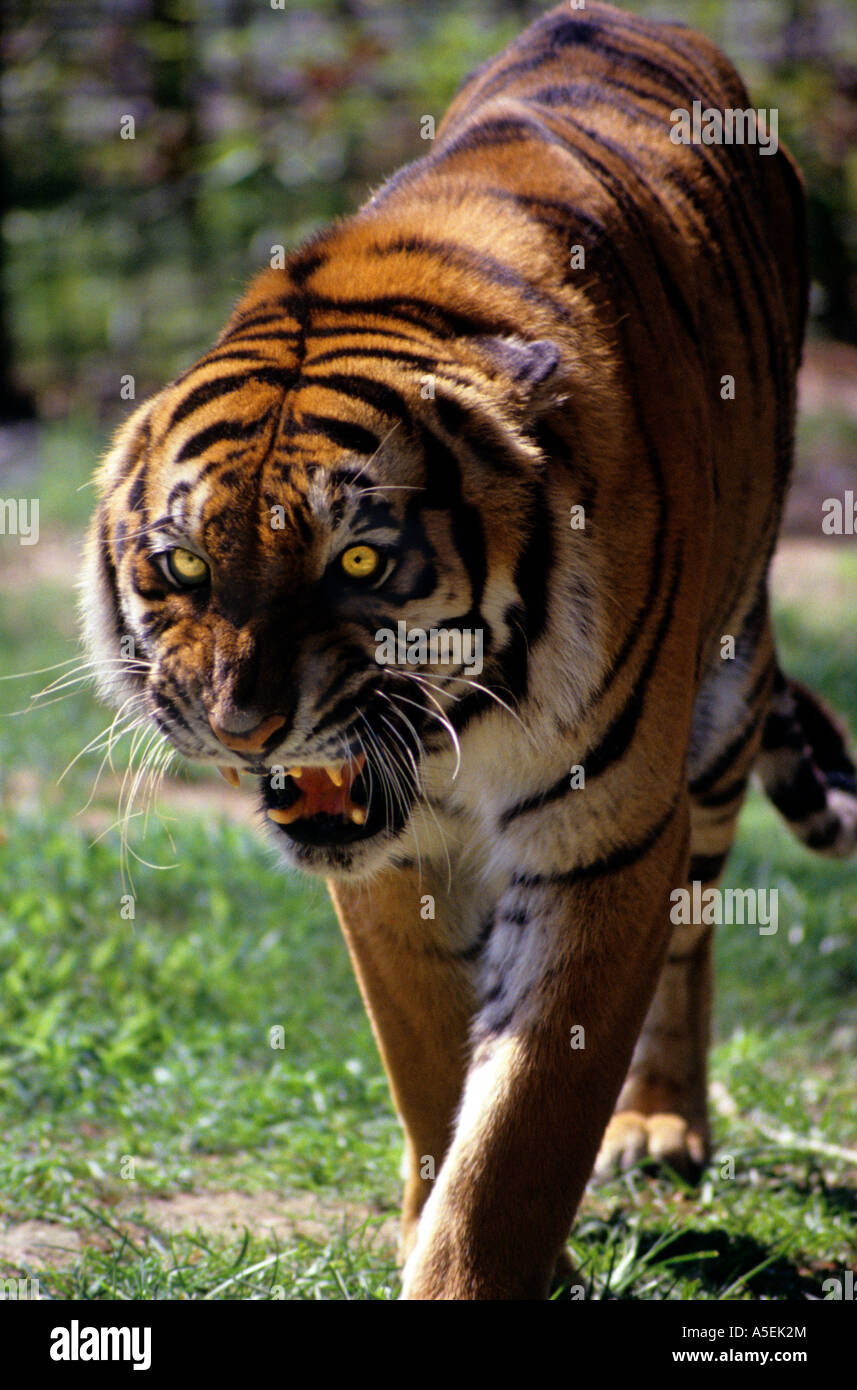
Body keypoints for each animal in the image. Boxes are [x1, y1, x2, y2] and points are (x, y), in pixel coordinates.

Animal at [80, 0, 857, 1299]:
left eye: (357, 562)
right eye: (181, 567)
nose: (245, 727)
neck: (467, 729)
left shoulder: (602, 839)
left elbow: (523, 1128)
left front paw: (472, 1261)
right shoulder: (395, 862)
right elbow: (433, 1073)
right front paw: (428, 1206)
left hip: (715, 711)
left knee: (695, 923)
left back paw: (658, 1123)